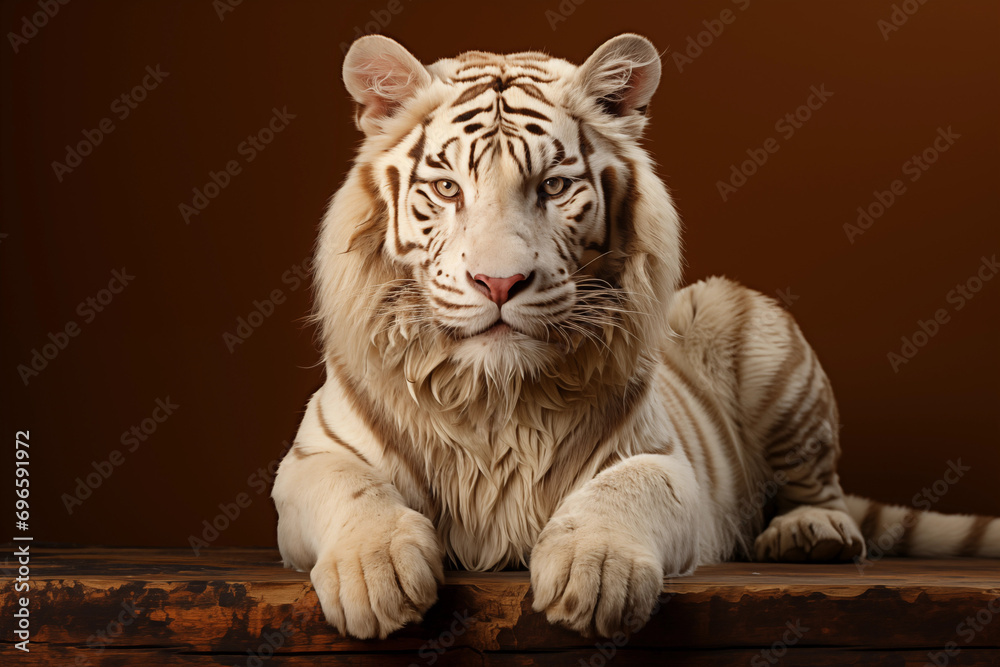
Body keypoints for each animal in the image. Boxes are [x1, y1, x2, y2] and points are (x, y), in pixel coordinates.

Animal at [271, 33, 1000, 640]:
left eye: (554, 186)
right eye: (447, 188)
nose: (499, 283)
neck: (493, 397)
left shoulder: (659, 458)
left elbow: (624, 492)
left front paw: (594, 576)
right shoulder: (312, 458)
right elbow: (353, 488)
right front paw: (374, 576)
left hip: (755, 334)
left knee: (819, 489)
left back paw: (810, 532)